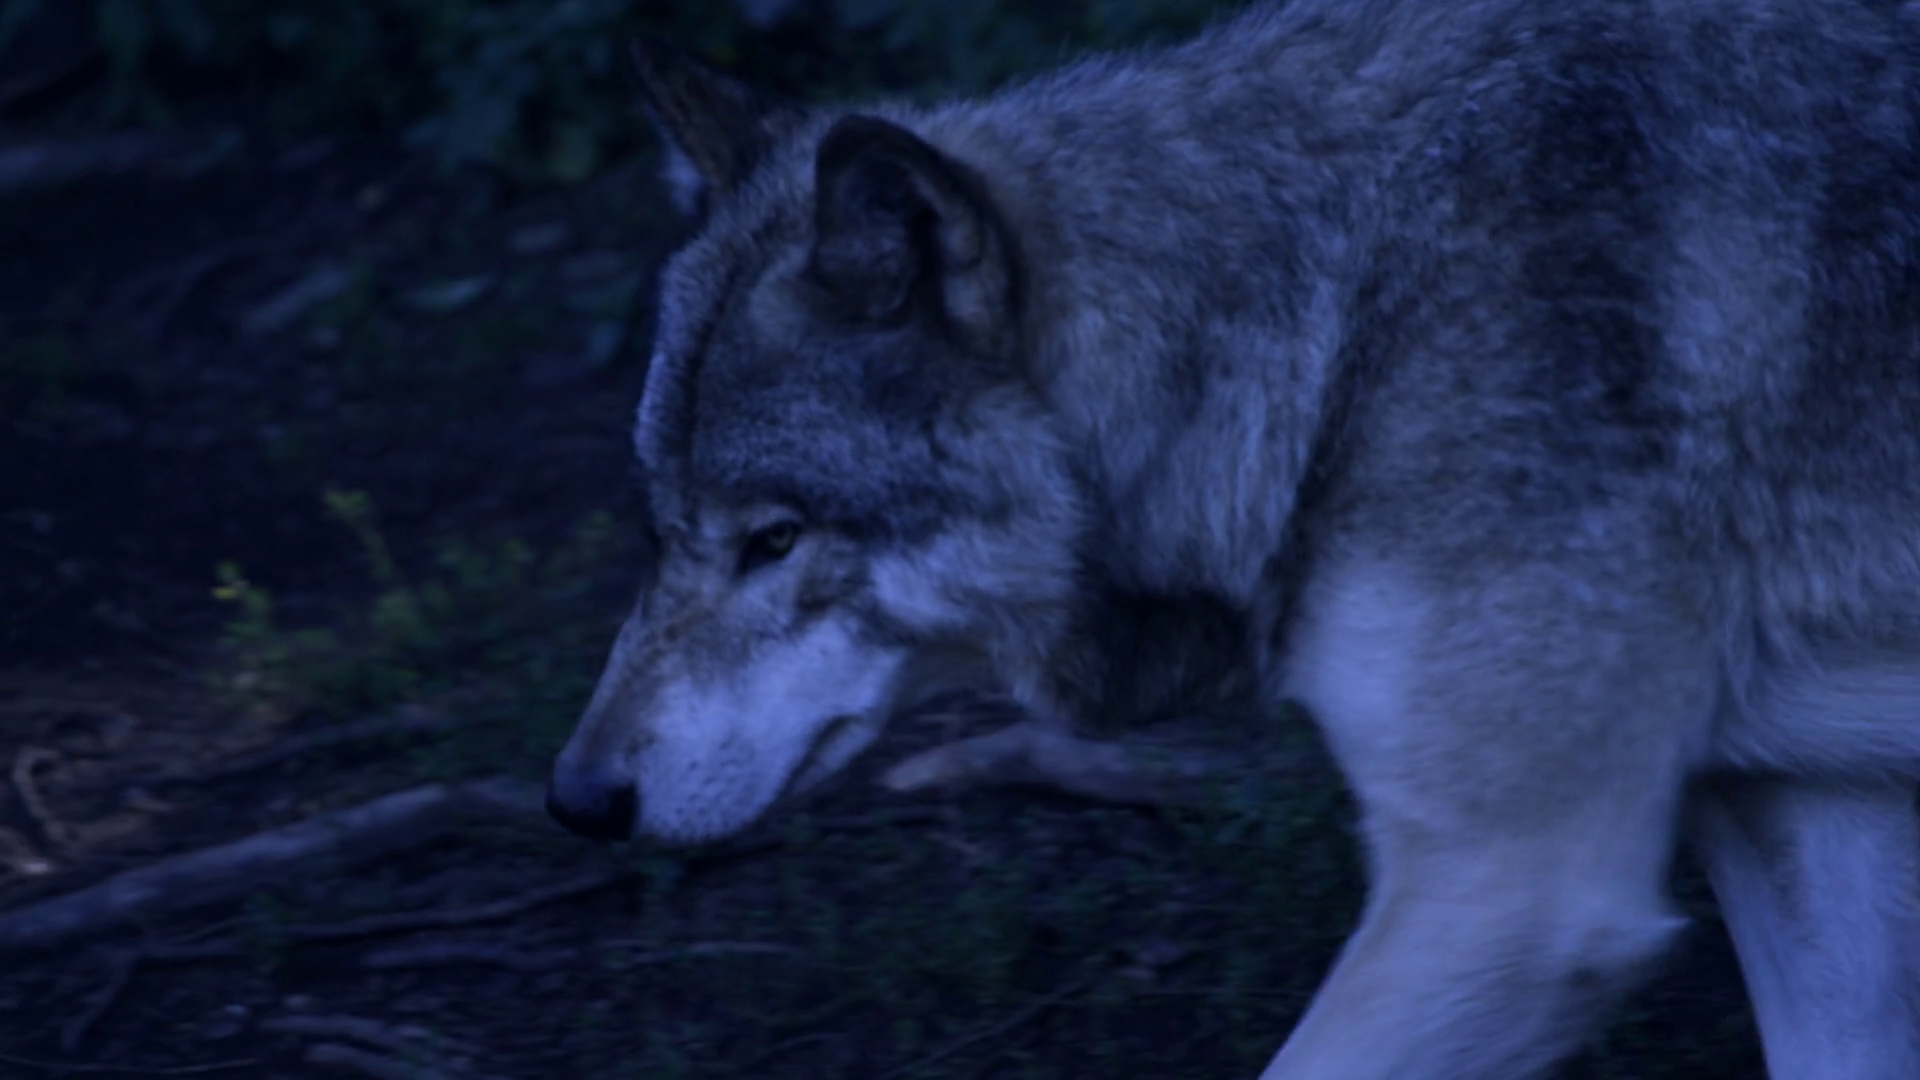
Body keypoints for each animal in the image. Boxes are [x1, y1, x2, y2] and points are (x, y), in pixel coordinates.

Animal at [545, 1, 1920, 1076]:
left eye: (775, 540)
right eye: (663, 529)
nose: (577, 800)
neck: (1335, 318)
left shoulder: (1514, 895)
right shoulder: (1800, 809)